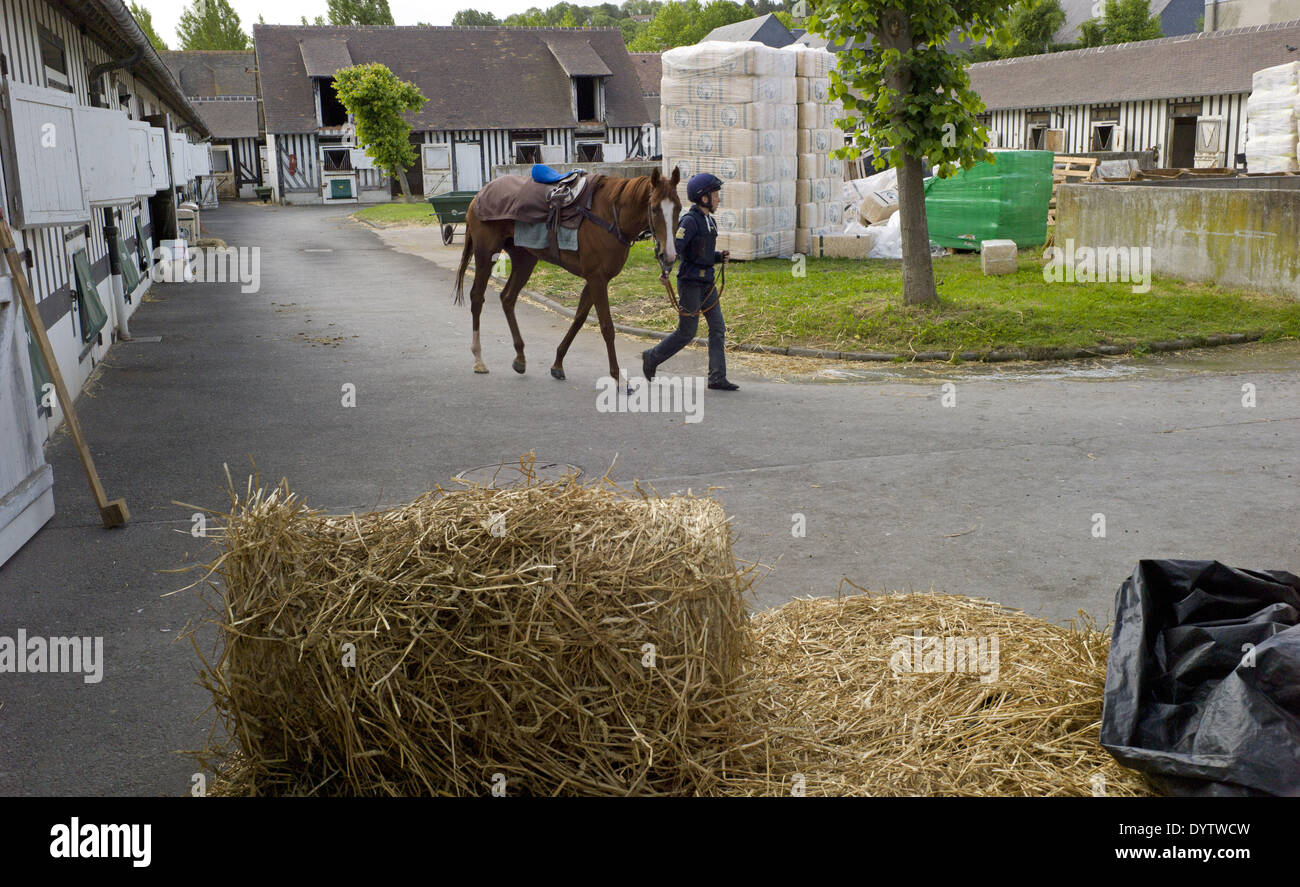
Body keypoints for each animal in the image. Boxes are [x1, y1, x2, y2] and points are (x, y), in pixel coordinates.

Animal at [453, 166, 682, 382]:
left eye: (679, 208)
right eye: (654, 209)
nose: (670, 255)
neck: (609, 215)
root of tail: (479, 195)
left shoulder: (595, 280)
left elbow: (579, 318)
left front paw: (557, 364)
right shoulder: (597, 279)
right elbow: (607, 327)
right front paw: (617, 378)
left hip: (525, 259)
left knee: (508, 298)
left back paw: (520, 357)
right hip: (486, 255)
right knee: (477, 297)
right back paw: (479, 359)